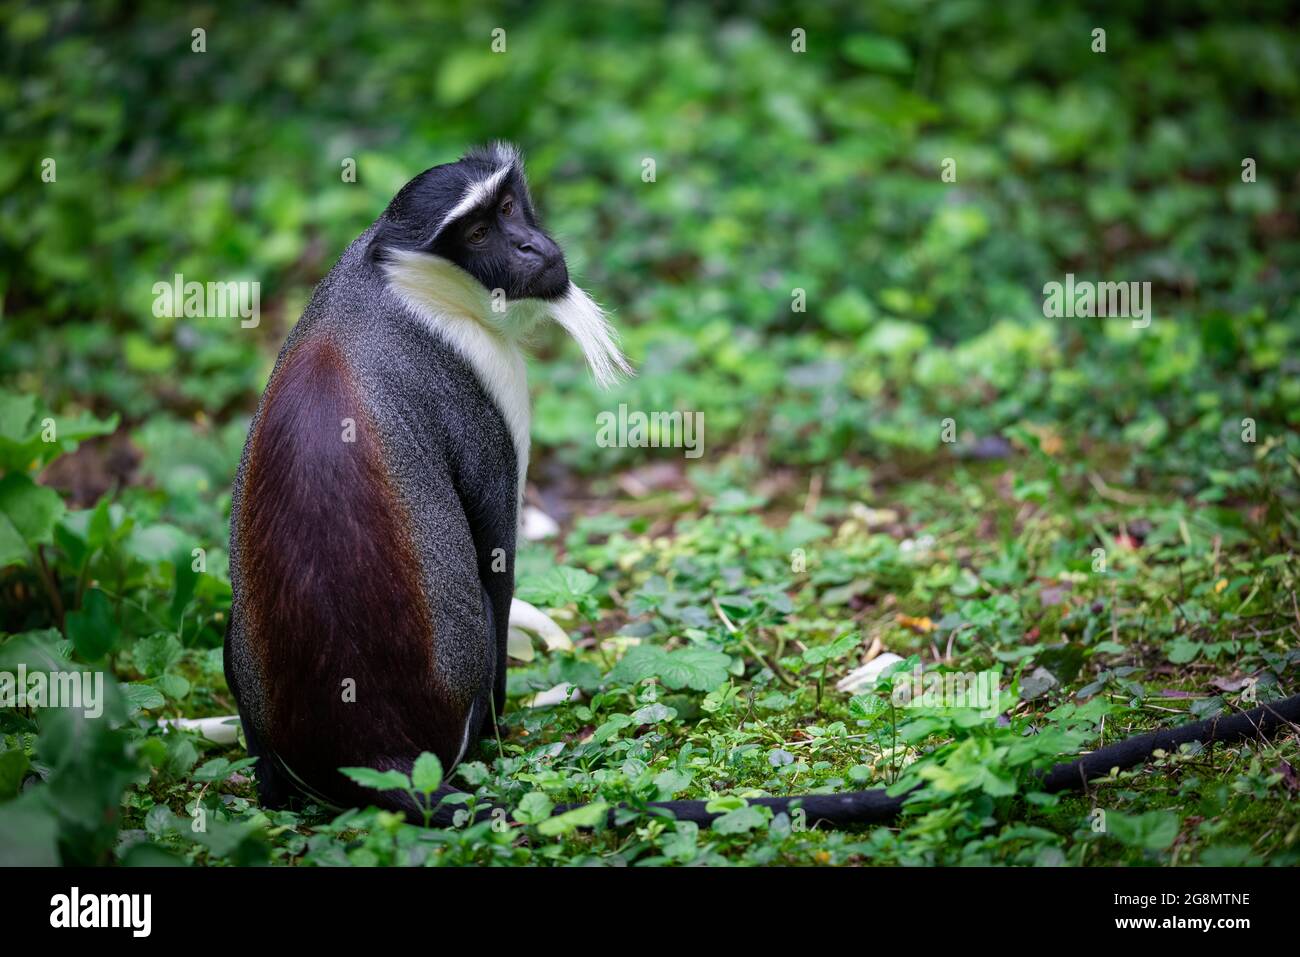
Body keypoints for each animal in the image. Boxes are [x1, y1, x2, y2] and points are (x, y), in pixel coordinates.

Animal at [225, 143, 1300, 830]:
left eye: (512, 206)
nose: (534, 251)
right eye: (482, 227)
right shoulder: (483, 385)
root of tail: (379, 759)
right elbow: (493, 547)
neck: (400, 277)